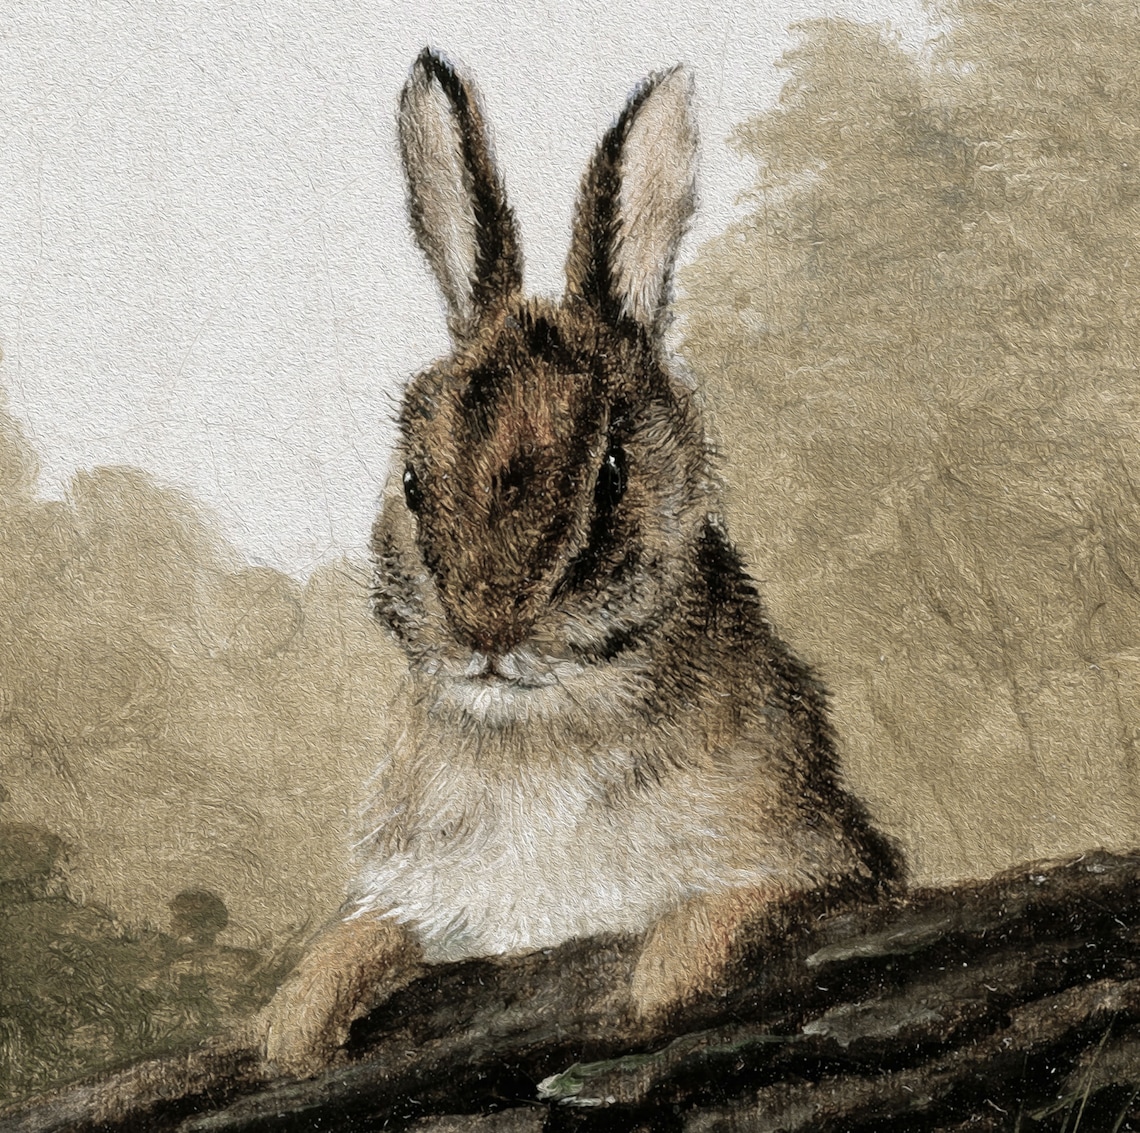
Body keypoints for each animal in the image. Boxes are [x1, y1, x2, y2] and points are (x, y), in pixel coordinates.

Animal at [259, 47, 903, 1078]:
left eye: (611, 472)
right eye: (412, 479)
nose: (487, 630)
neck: (540, 727)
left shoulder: (823, 861)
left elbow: (746, 902)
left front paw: (668, 974)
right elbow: (367, 934)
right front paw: (294, 1023)